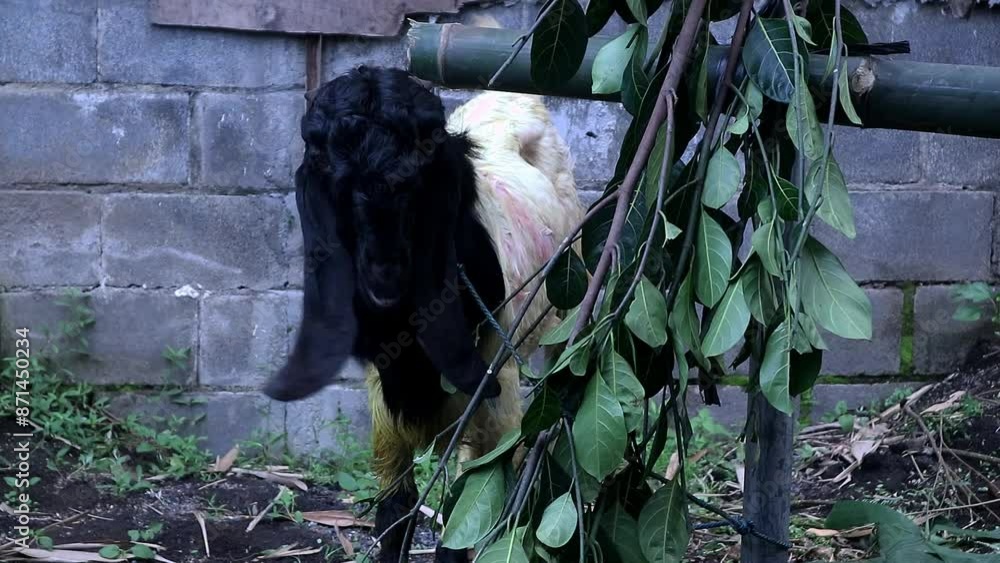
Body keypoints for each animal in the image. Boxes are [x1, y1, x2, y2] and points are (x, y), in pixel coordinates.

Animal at [264, 66, 584, 563]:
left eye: (417, 182)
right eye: (335, 181)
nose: (383, 274)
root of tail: (517, 99)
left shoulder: (495, 387)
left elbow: (466, 515)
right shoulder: (383, 404)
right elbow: (397, 507)